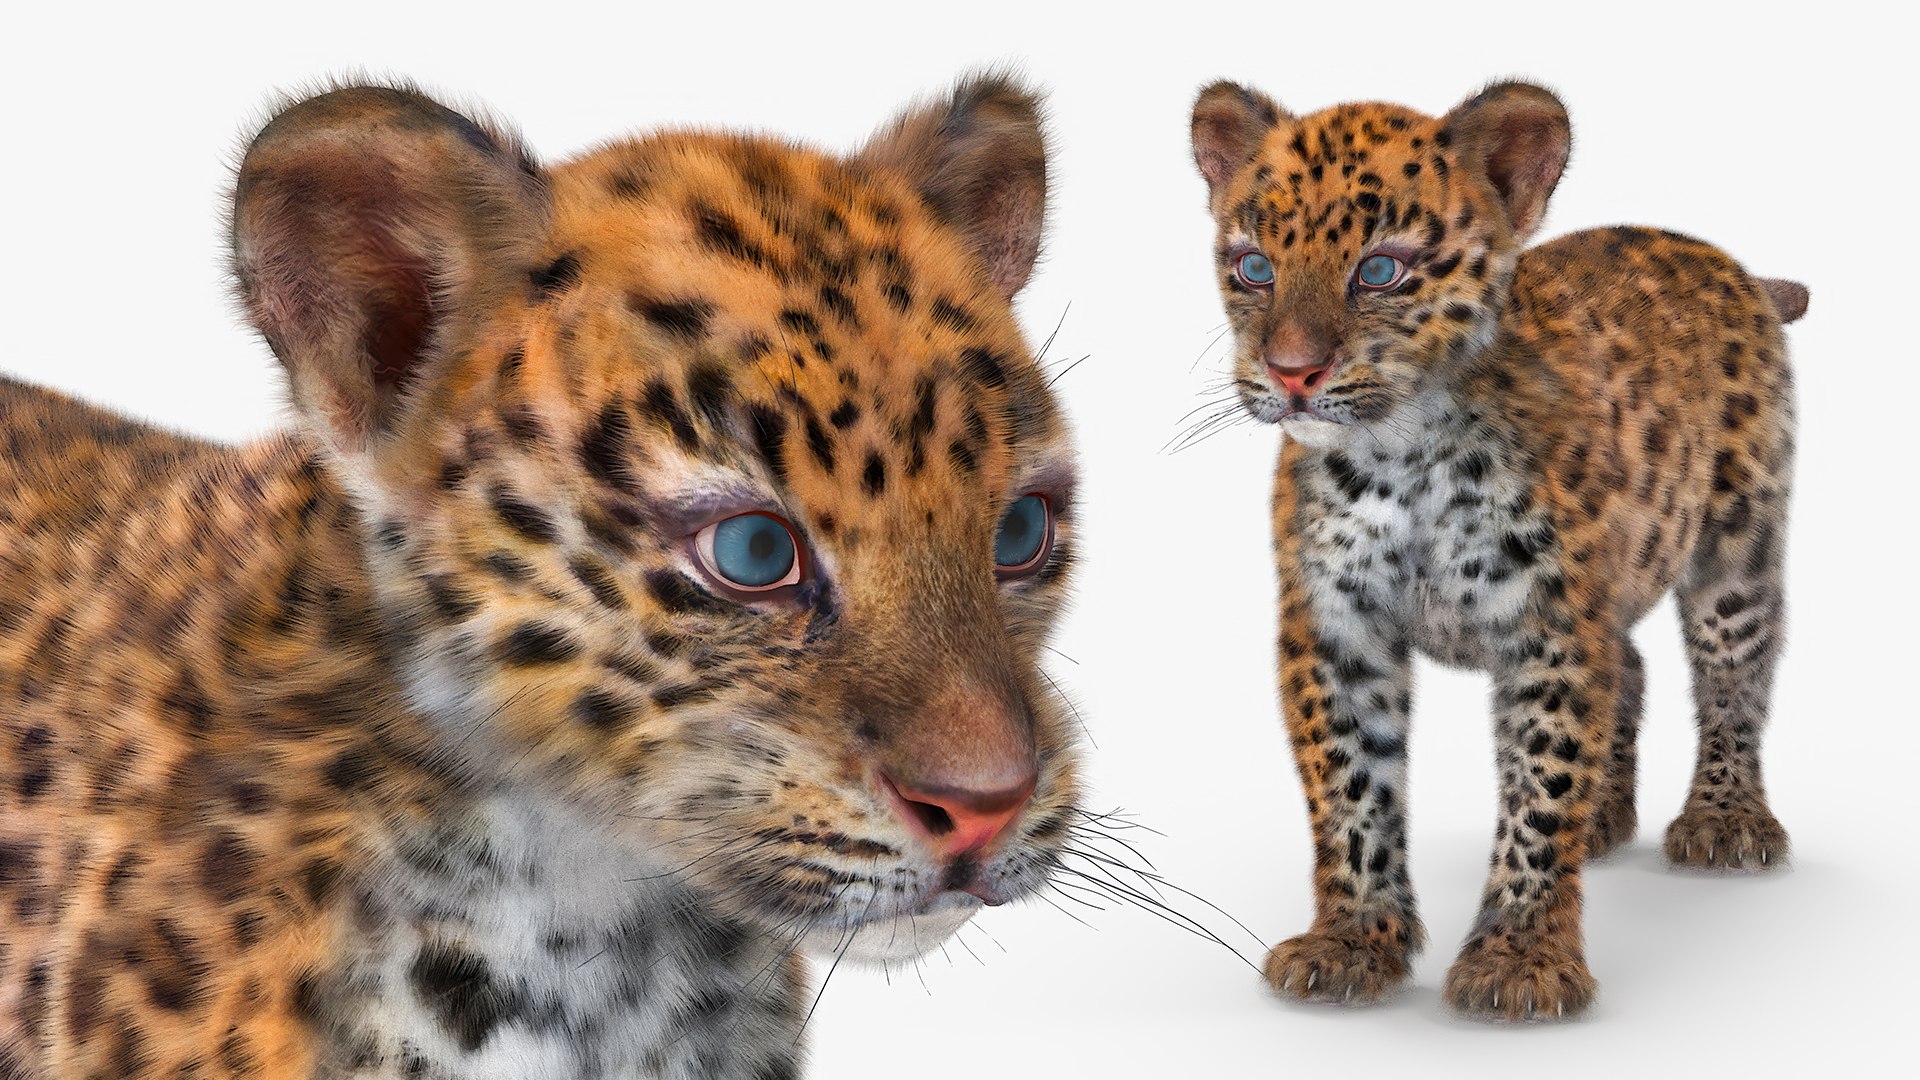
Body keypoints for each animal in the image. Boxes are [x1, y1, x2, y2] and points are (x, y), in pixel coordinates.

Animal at [1188, 79, 1804, 1020]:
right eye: (1253, 267)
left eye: (1381, 271)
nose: (1291, 373)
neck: (1402, 457)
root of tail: (1722, 261)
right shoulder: (1334, 628)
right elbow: (1351, 789)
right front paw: (1352, 942)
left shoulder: (1550, 625)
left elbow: (1541, 789)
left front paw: (1520, 958)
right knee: (1631, 664)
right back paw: (1608, 817)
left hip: (1737, 545)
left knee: (1734, 672)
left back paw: (1725, 818)